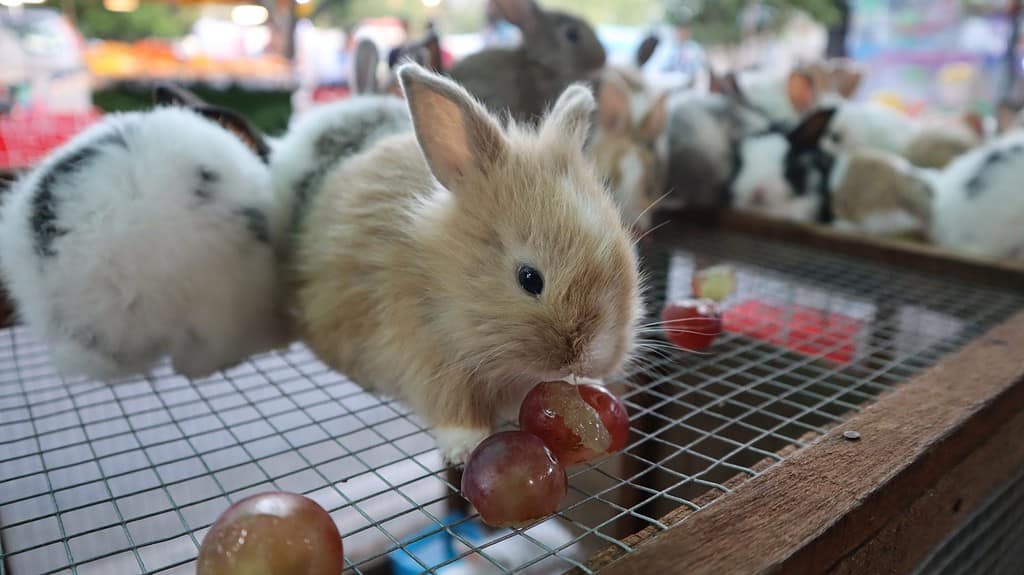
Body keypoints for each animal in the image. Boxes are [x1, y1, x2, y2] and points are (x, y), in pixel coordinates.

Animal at [290, 63, 643, 464]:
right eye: (529, 279)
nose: (593, 358)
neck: (447, 280)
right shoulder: (429, 358)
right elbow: (453, 409)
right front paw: (466, 447)